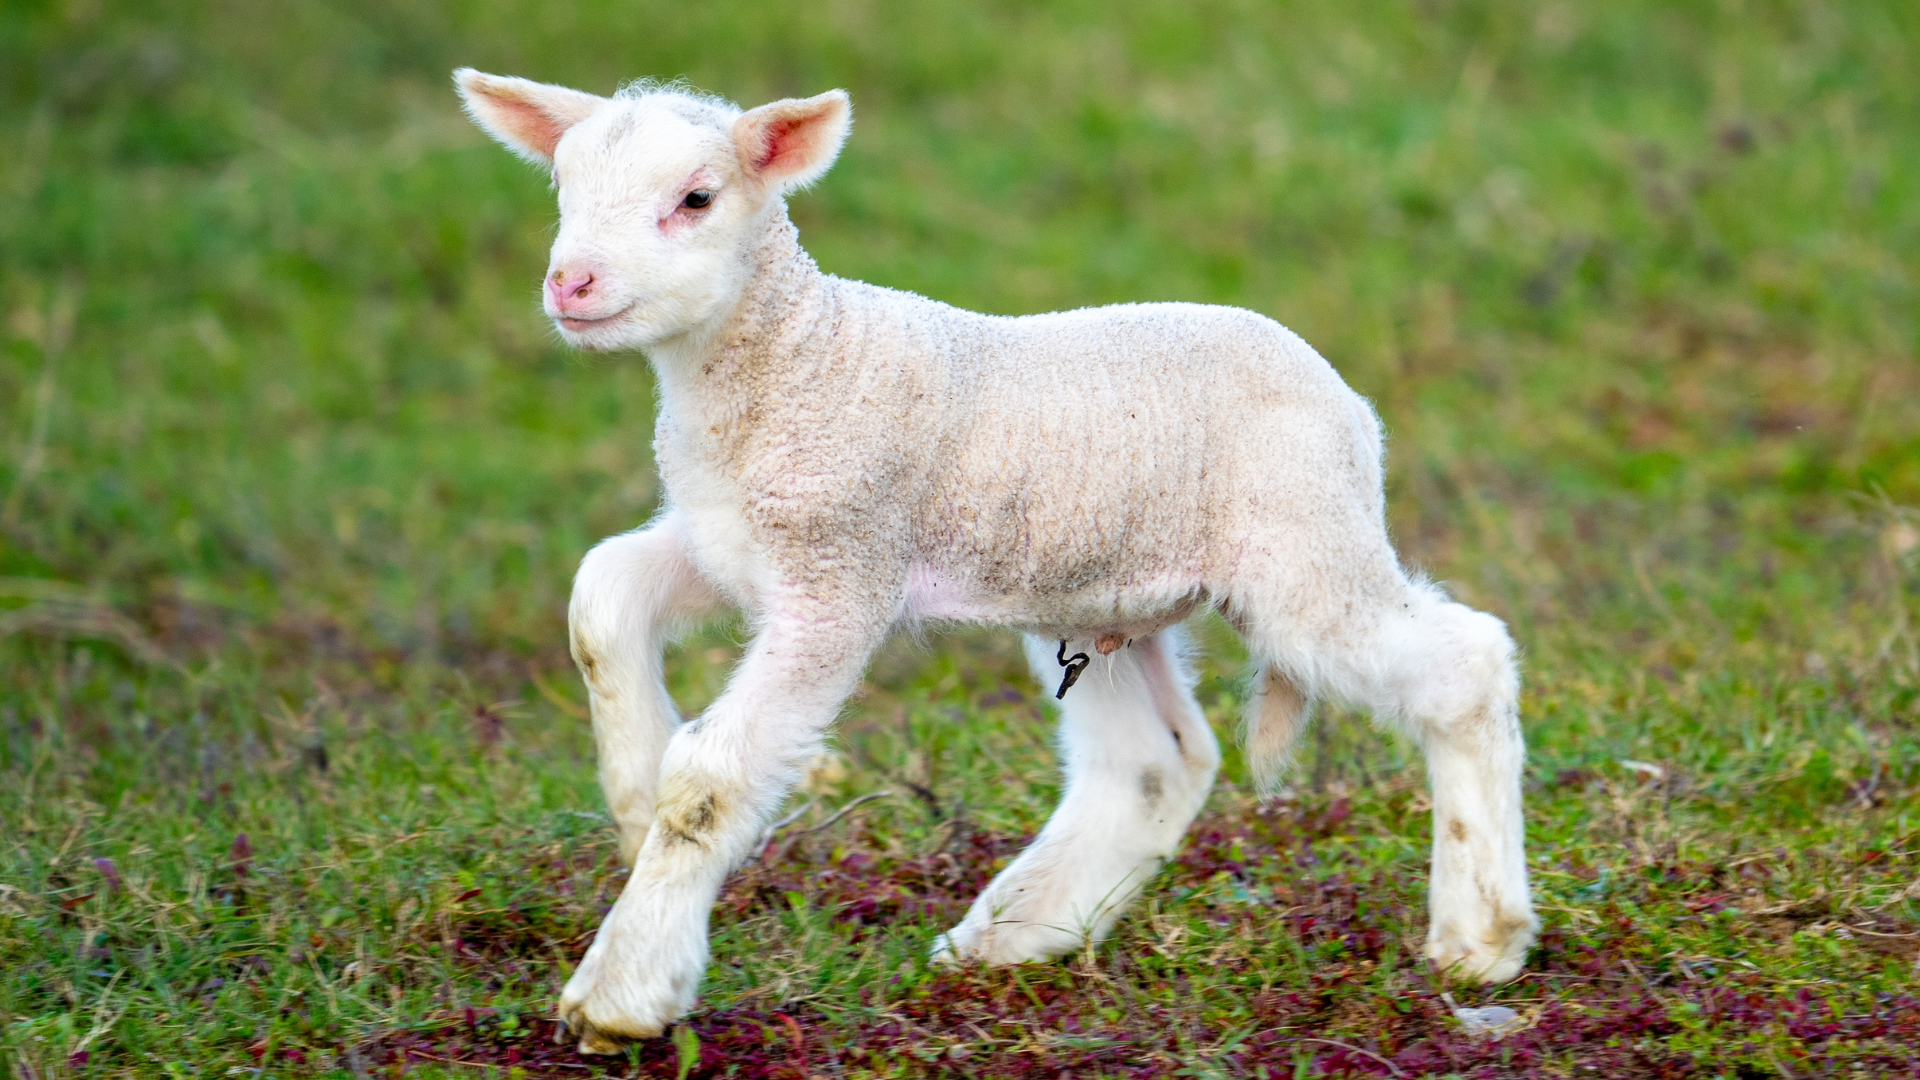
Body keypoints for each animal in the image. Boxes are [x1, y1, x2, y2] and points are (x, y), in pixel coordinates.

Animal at [454, 69, 1537, 1053]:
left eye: (696, 199)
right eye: (561, 188)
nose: (572, 284)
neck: (794, 358)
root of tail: (1353, 409)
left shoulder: (839, 569)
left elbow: (712, 775)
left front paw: (623, 993)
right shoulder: (725, 545)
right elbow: (601, 597)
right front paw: (633, 802)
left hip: (1304, 549)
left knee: (1465, 662)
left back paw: (1479, 938)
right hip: (1096, 592)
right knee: (1156, 762)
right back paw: (1013, 937)